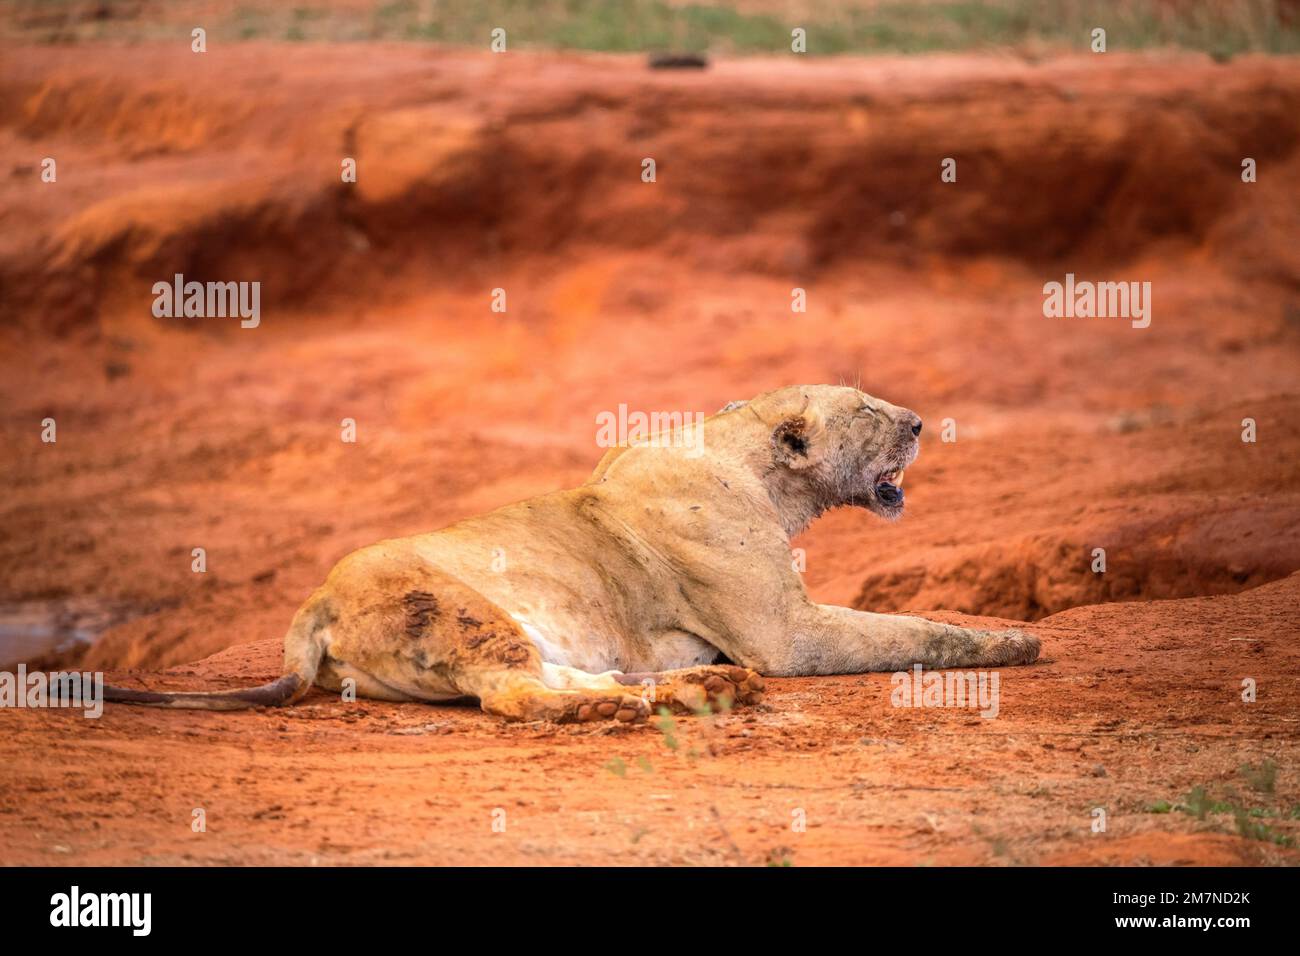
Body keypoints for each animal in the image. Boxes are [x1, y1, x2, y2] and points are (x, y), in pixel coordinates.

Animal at [105, 384, 1040, 721]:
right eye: (868, 411)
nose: (918, 422)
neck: (760, 471)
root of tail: (311, 608)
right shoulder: (787, 635)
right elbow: (916, 631)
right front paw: (1015, 642)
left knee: (556, 676)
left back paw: (695, 688)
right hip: (464, 608)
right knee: (518, 697)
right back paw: (659, 702)